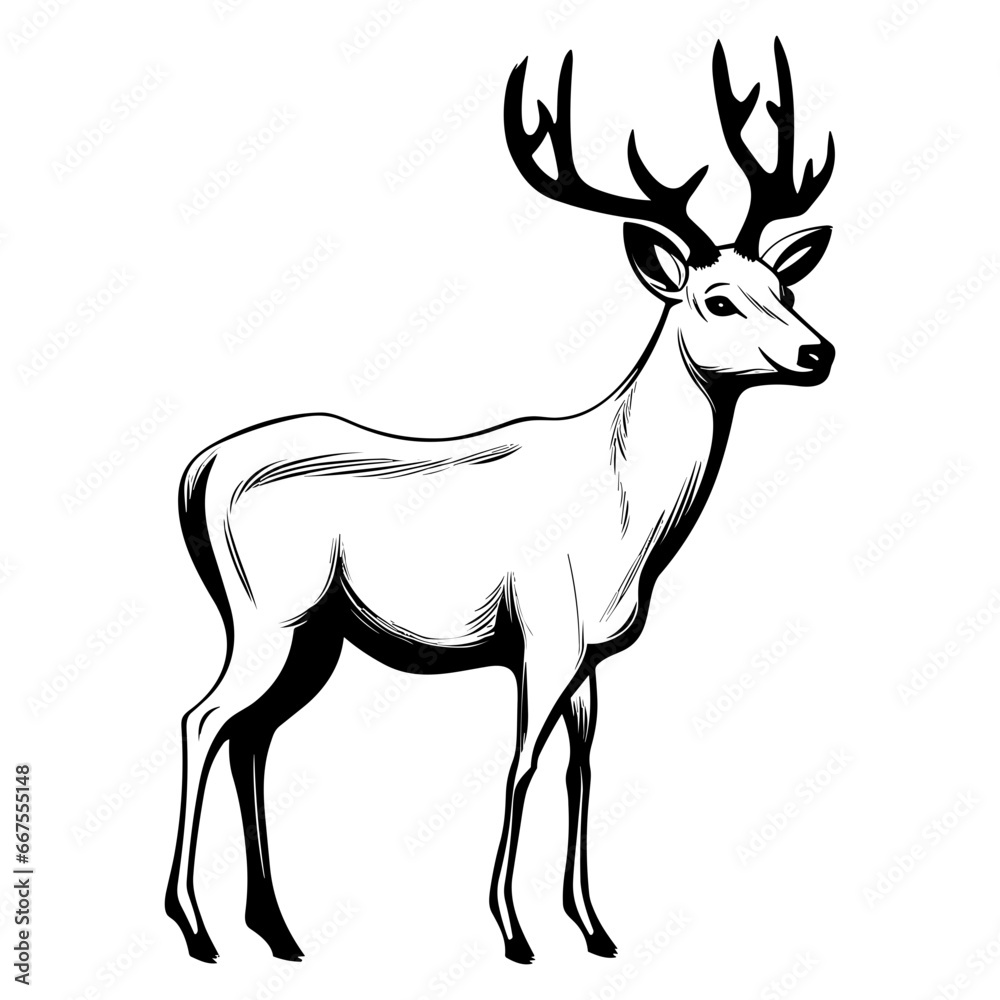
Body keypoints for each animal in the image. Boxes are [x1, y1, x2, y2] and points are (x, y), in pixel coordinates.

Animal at [165, 38, 836, 965]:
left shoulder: (593, 654)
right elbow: (521, 766)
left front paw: (596, 928)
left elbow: (583, 770)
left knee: (254, 736)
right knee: (202, 720)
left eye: (786, 288)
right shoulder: (544, 633)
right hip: (267, 610)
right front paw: (513, 932)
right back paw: (196, 927)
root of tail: (197, 472)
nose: (818, 352)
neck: (628, 521)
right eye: (718, 298)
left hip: (316, 633)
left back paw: (278, 929)